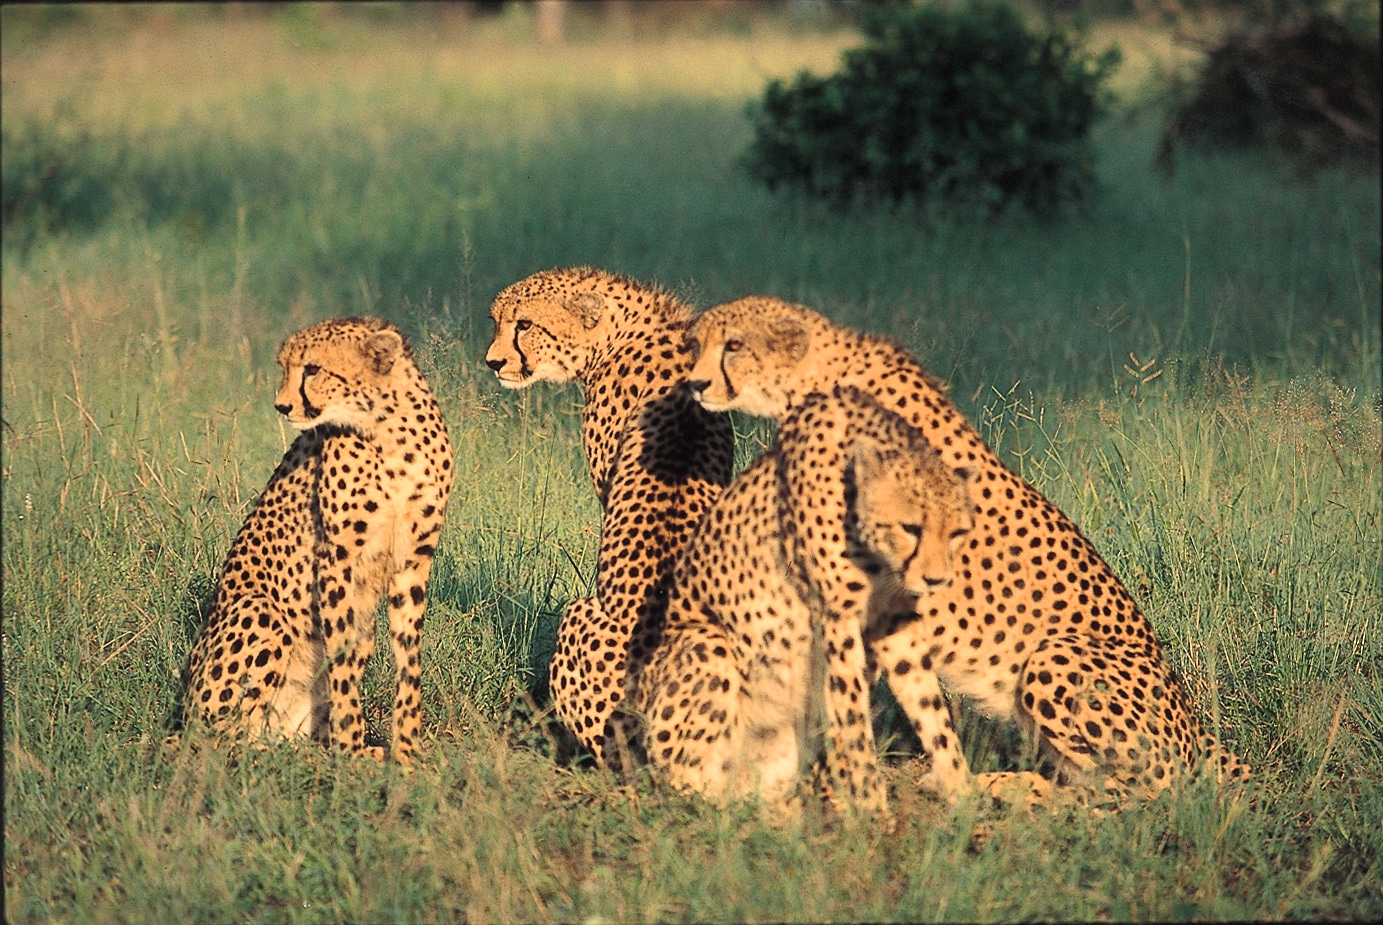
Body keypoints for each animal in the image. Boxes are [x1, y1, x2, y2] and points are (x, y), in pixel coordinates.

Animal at [181, 317, 453, 765]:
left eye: (312, 370)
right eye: (286, 368)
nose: (281, 406)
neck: (387, 430)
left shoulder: (414, 560)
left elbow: (408, 659)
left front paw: (406, 752)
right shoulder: (337, 558)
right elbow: (341, 662)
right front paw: (352, 749)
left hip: (363, 628)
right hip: (259, 616)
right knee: (222, 742)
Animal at [630, 384, 975, 820]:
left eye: (958, 532)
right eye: (910, 527)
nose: (937, 579)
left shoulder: (897, 629)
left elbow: (932, 714)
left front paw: (965, 797)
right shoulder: (837, 621)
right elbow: (853, 724)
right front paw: (873, 812)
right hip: (707, 645)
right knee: (689, 789)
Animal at [683, 296, 1249, 807]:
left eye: (733, 345)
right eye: (696, 344)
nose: (695, 383)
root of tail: (1201, 731)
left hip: (1054, 658)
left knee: (1136, 793)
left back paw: (1007, 789)